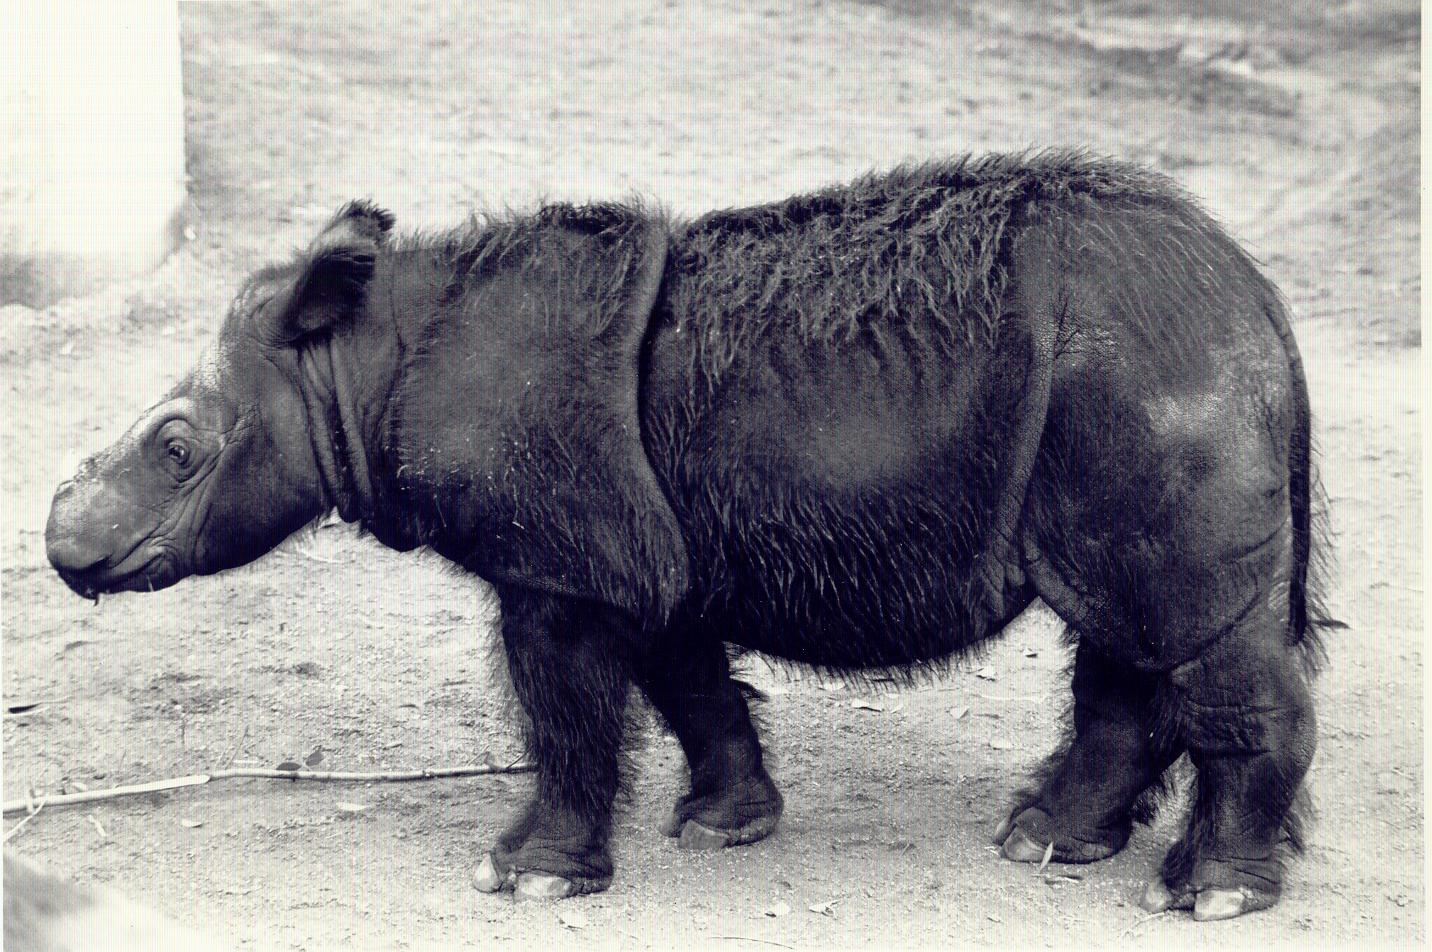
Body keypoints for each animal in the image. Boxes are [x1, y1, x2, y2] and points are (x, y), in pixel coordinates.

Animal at [46, 152, 1332, 919]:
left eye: (176, 447)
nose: (63, 542)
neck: (357, 365)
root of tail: (1260, 299)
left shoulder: (557, 563)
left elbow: (564, 707)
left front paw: (525, 878)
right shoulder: (641, 552)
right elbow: (688, 681)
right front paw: (725, 825)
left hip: (1146, 374)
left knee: (1179, 628)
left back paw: (1206, 897)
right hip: (1124, 387)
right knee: (1122, 624)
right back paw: (1045, 843)